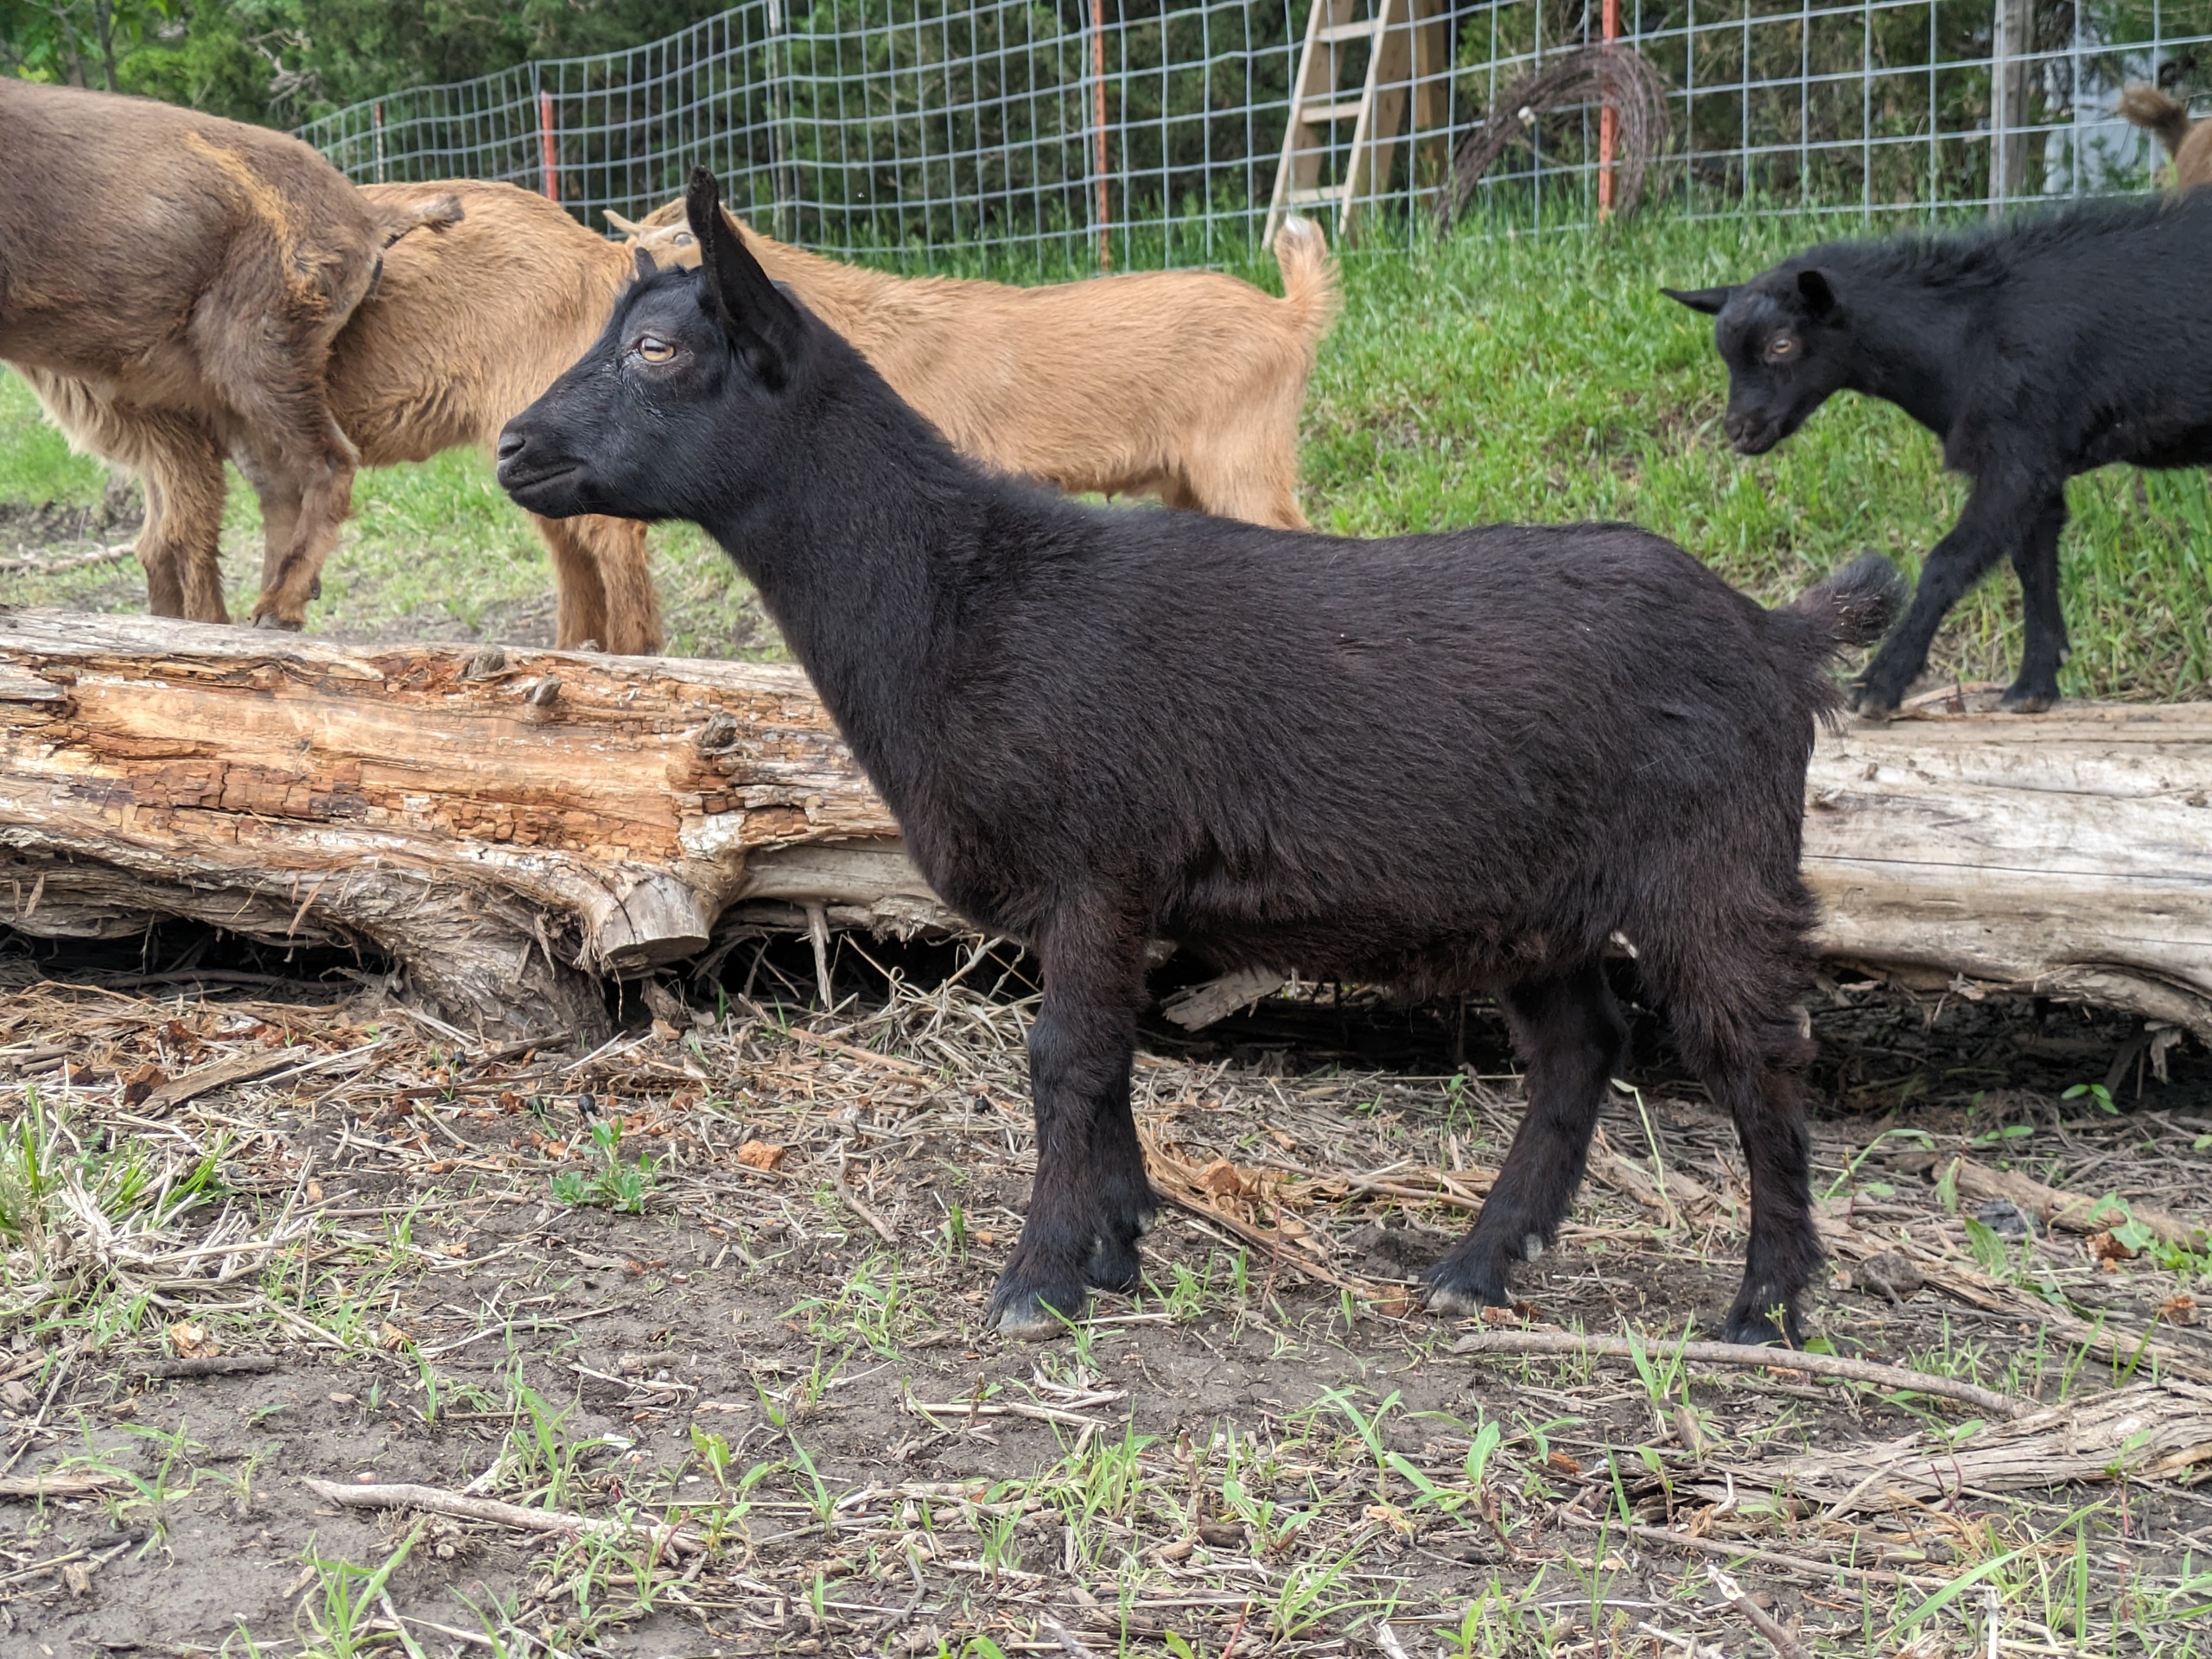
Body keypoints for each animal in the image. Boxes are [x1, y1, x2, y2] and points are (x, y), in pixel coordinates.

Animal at [0, 79, 457, 626]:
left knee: (329, 462)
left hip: (257, 353)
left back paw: (278, 605)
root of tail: (367, 216)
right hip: (235, 398)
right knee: (272, 493)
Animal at [1665, 193, 2212, 715]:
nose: (1740, 431)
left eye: (1783, 344)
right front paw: (2033, 686)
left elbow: (1947, 563)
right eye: (1725, 353)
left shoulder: (2016, 461)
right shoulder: (2037, 461)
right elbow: (2033, 569)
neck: (1967, 340)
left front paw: (1879, 685)